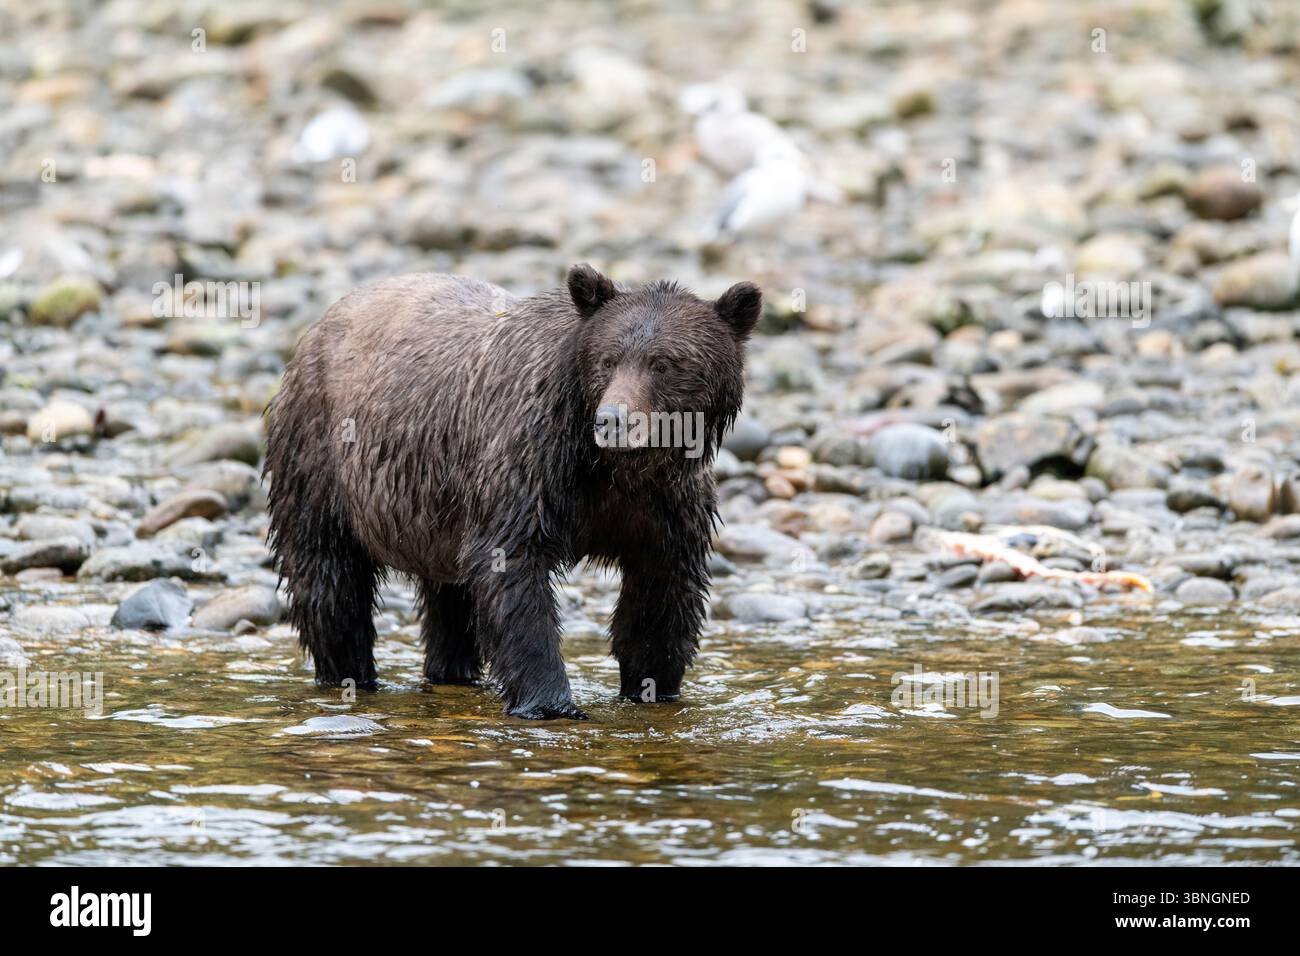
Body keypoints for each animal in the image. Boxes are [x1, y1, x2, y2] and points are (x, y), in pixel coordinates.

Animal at [264, 264, 761, 719]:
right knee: (330, 578)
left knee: (449, 600)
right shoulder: (530, 462)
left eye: (665, 362)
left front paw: (653, 686)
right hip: (323, 458)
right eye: (608, 359)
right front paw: (551, 702)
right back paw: (348, 673)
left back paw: (450, 672)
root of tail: (322, 322)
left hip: (437, 513)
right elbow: (513, 568)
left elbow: (661, 592)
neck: (615, 469)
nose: (613, 419)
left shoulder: (666, 503)